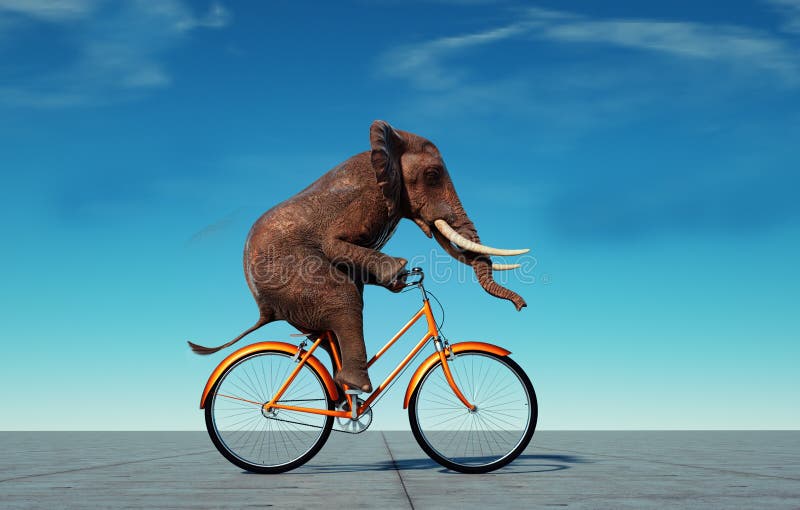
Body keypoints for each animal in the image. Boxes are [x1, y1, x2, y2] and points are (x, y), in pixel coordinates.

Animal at [189, 120, 529, 393]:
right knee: (344, 298)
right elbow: (333, 243)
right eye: (432, 175)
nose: (522, 307)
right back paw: (357, 388)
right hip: (292, 274)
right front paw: (400, 270)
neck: (388, 145)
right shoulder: (365, 201)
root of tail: (264, 311)